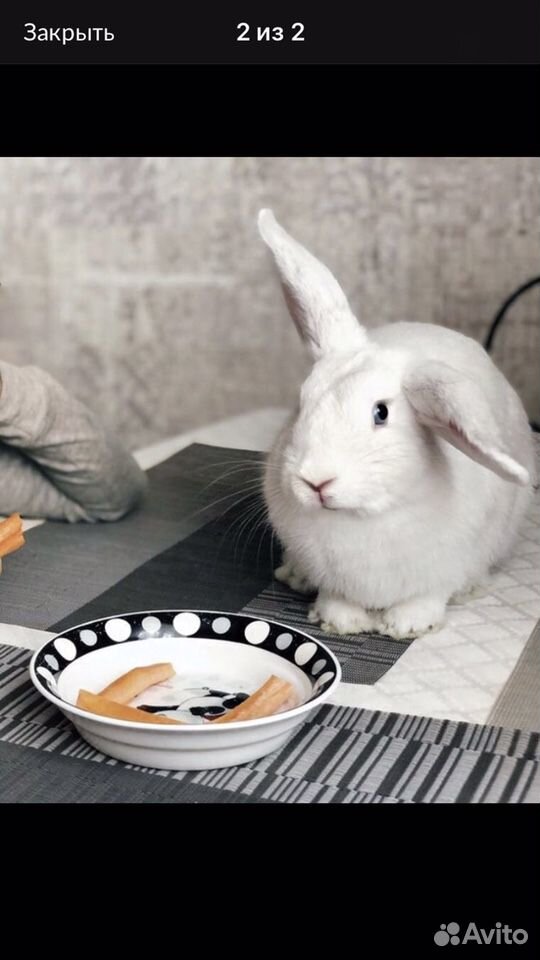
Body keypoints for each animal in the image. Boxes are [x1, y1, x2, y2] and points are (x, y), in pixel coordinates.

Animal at [258, 209, 536, 640]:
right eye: (302, 402)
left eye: (381, 413)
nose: (315, 481)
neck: (363, 518)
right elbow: (338, 597)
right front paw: (341, 621)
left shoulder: (445, 568)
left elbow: (428, 596)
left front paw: (407, 626)